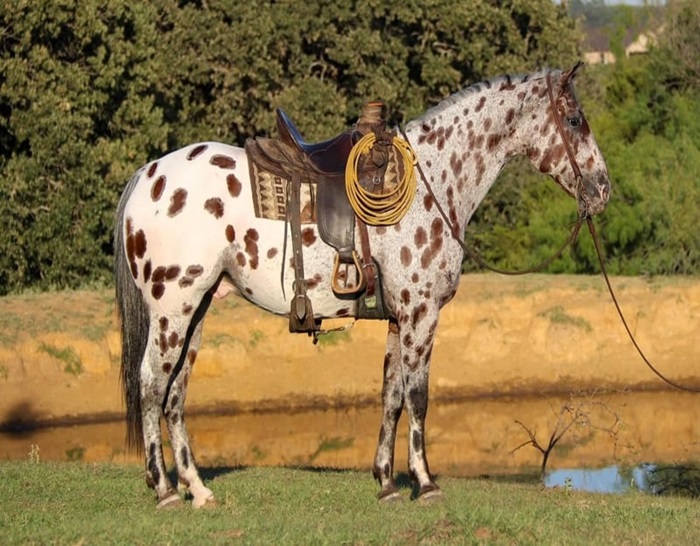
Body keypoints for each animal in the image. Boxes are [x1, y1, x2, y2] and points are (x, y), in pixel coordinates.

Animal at [114, 63, 610, 508]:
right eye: (574, 120)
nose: (603, 188)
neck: (432, 182)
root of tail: (147, 175)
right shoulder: (421, 314)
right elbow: (418, 397)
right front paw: (425, 483)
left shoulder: (398, 319)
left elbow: (391, 396)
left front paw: (387, 482)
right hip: (173, 311)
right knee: (152, 385)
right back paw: (164, 491)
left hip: (196, 311)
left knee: (175, 393)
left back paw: (197, 490)